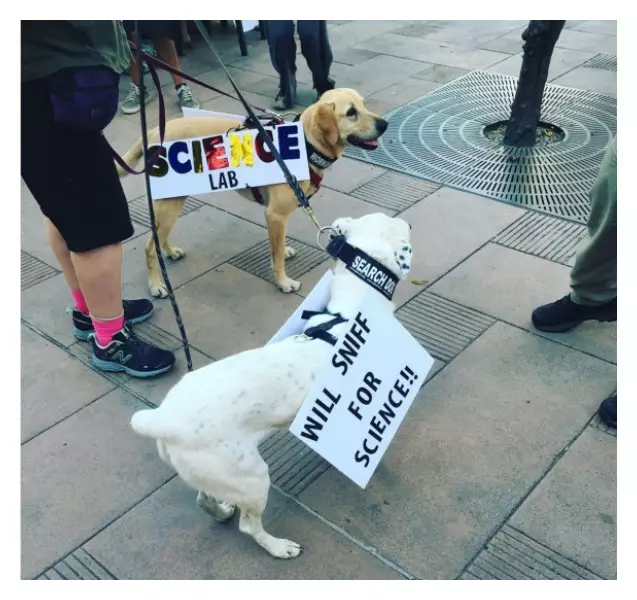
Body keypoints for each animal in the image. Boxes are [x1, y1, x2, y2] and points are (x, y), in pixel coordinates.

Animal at [117, 86, 390, 298]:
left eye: (364, 104)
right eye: (351, 112)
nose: (385, 124)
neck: (305, 144)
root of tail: (152, 133)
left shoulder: (275, 216)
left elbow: (276, 247)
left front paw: (284, 252)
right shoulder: (275, 215)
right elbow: (276, 256)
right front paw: (283, 282)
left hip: (171, 202)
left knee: (158, 238)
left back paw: (170, 251)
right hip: (170, 204)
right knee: (149, 248)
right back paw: (156, 285)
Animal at [132, 213, 414, 560]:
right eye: (397, 224)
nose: (409, 224)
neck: (348, 314)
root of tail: (163, 420)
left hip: (211, 473)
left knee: (204, 498)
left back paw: (222, 511)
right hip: (252, 477)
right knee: (249, 526)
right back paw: (279, 547)